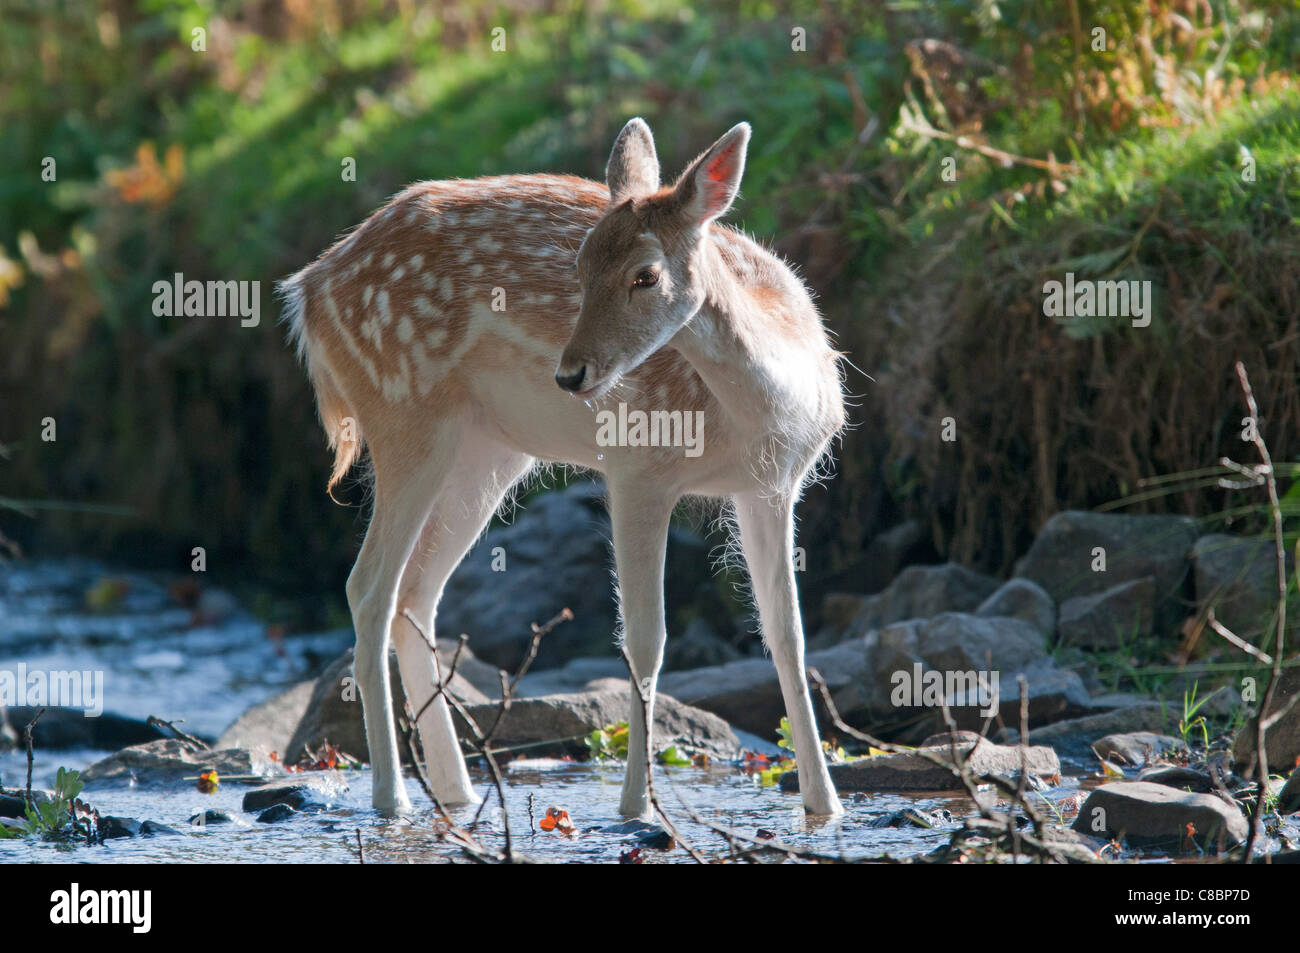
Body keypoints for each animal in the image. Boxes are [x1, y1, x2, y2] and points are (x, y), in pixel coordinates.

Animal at [280, 118, 847, 820]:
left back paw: (457, 792)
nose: (571, 373)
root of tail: (304, 294)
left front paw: (825, 804)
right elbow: (646, 640)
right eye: (577, 265)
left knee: (415, 593)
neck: (763, 415)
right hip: (403, 413)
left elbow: (788, 637)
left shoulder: (773, 488)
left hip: (488, 452)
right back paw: (394, 799)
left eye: (645, 275)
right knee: (369, 588)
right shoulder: (639, 469)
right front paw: (636, 808)